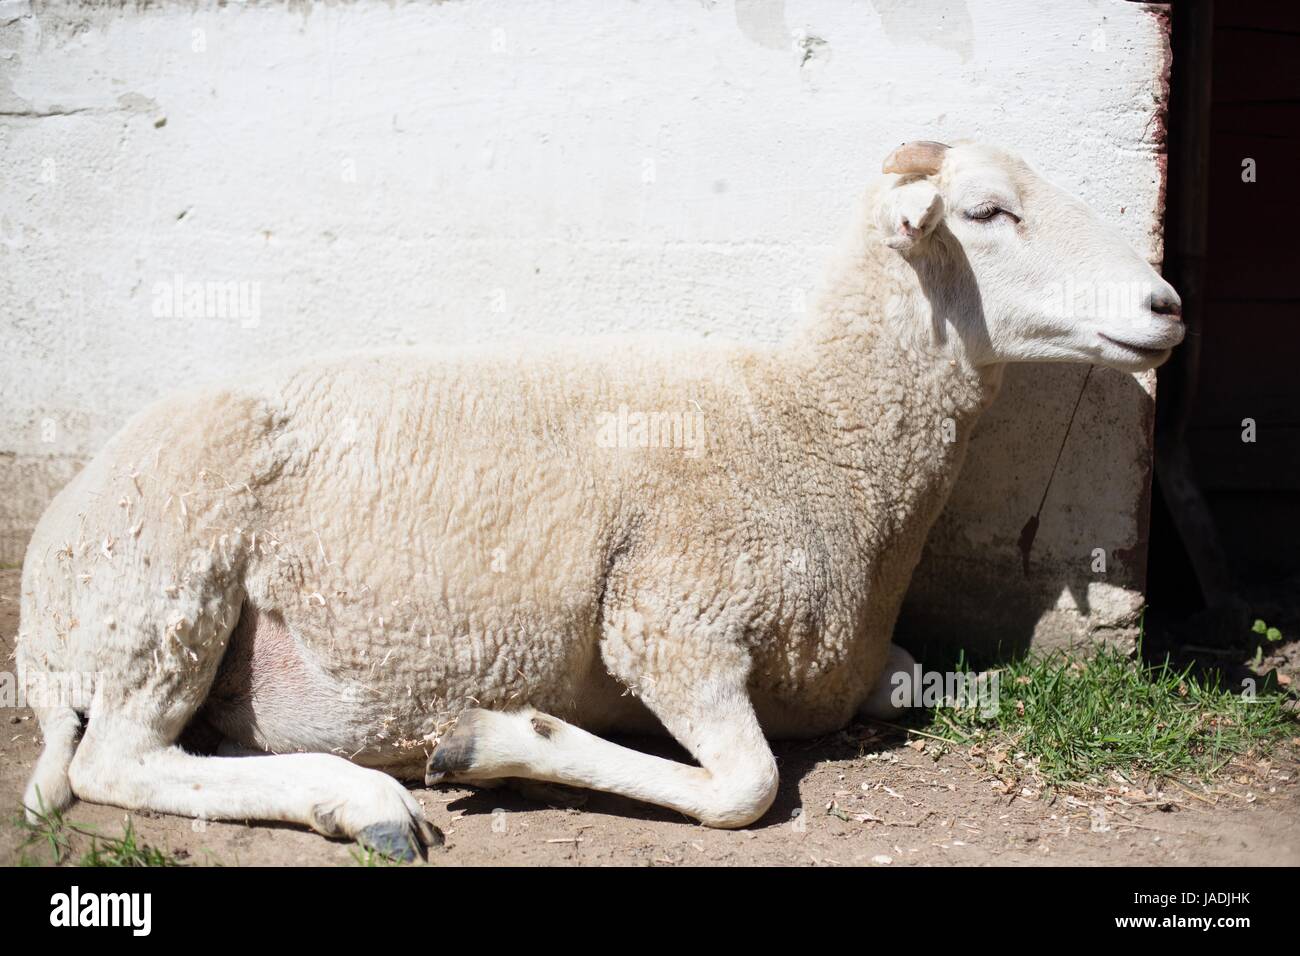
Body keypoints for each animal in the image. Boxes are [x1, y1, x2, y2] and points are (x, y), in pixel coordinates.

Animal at [17, 140, 1183, 859]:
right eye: (987, 212)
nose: (1166, 304)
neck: (814, 428)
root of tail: (39, 609)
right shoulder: (672, 620)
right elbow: (748, 786)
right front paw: (495, 741)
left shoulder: (844, 656)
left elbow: (932, 685)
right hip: (165, 590)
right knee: (118, 762)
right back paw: (361, 800)